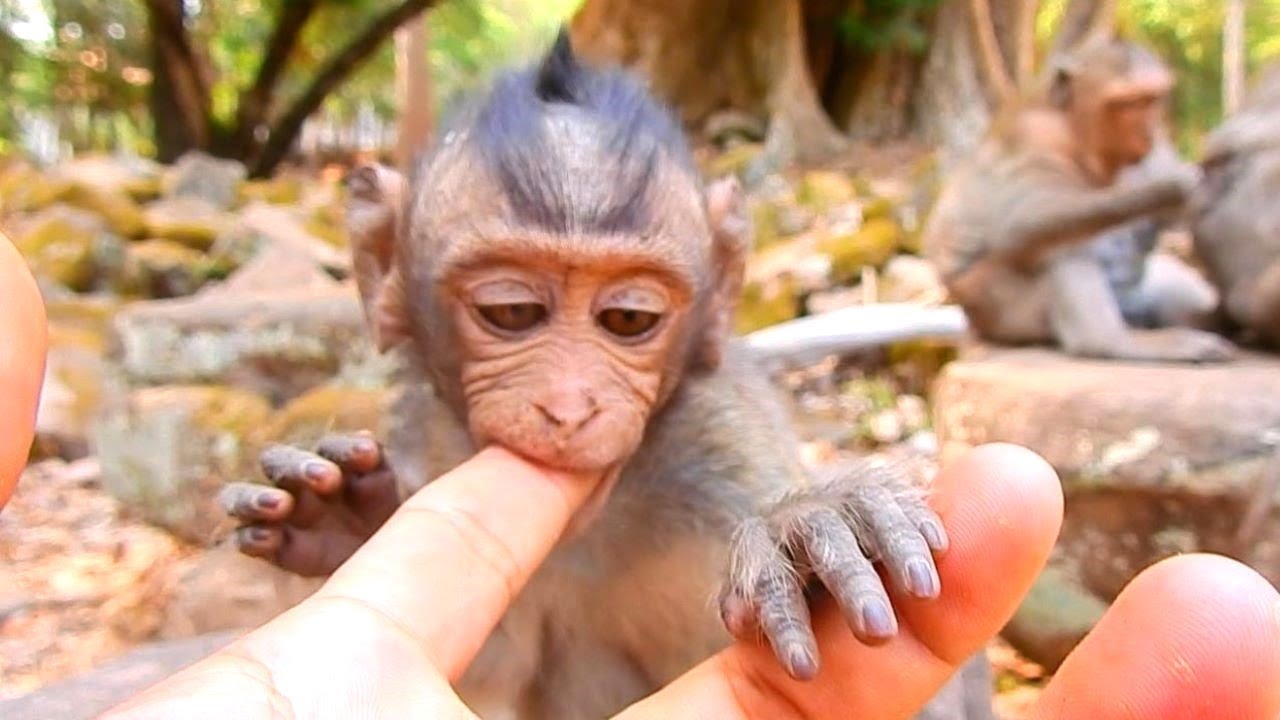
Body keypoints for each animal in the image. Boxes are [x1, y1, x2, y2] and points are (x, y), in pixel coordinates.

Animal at [219, 35, 993, 720]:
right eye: (511, 311)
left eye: (628, 318)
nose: (569, 408)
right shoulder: (430, 437)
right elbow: (485, 673)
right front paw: (348, 522)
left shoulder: (719, 450)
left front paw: (811, 530)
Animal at [922, 37, 1235, 362]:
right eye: (1125, 103)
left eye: (1151, 99)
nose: (1145, 131)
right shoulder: (1036, 135)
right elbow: (1022, 224)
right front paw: (1173, 189)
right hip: (1001, 308)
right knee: (1057, 246)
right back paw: (1110, 340)